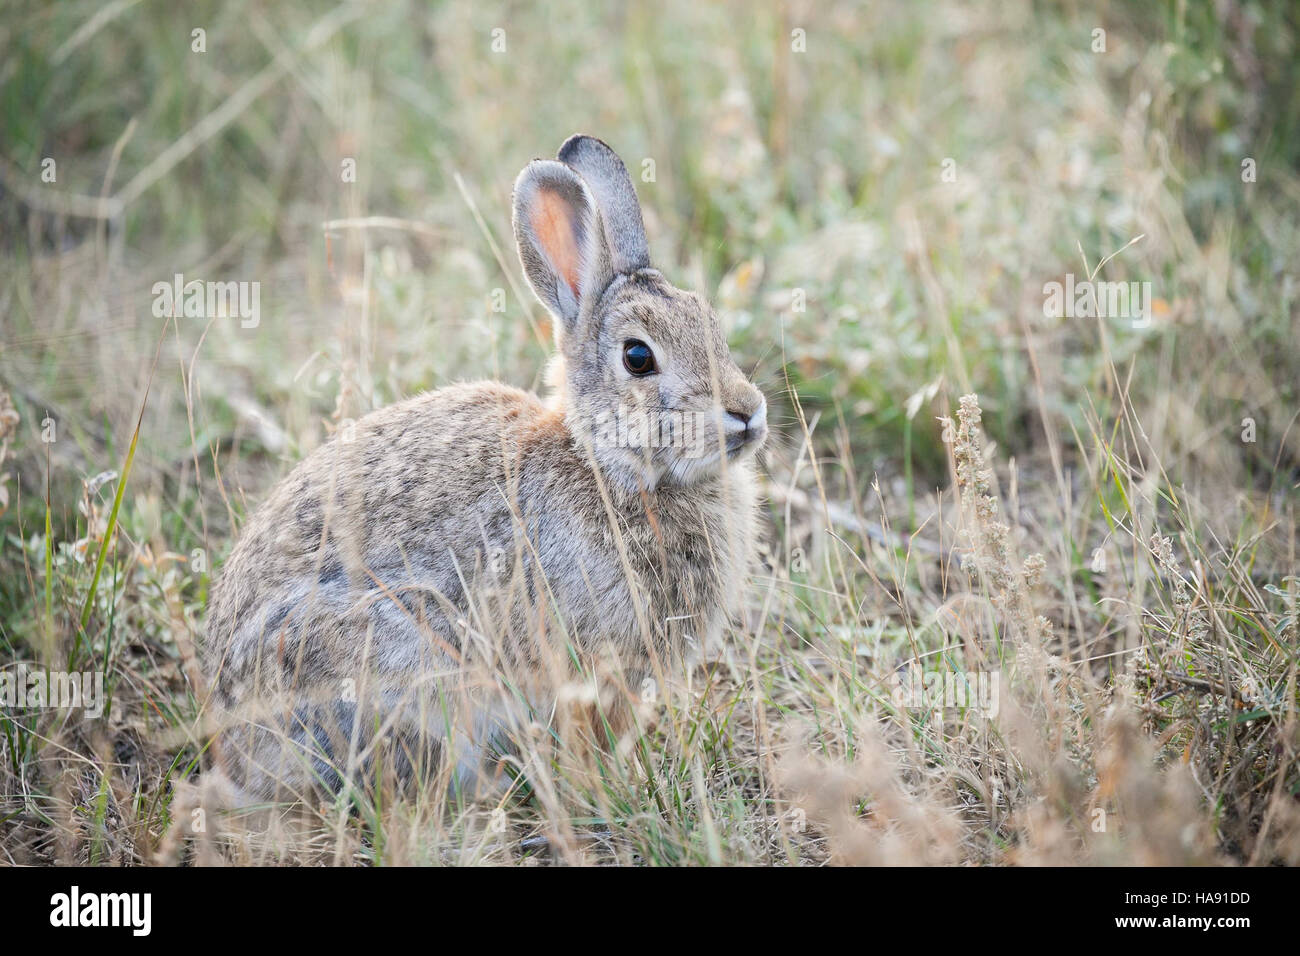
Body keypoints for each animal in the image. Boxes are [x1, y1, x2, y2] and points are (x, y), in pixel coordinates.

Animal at [202, 135, 768, 804]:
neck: (606, 464)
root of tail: (235, 744)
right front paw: (608, 789)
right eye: (637, 357)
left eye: (711, 322)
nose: (748, 412)